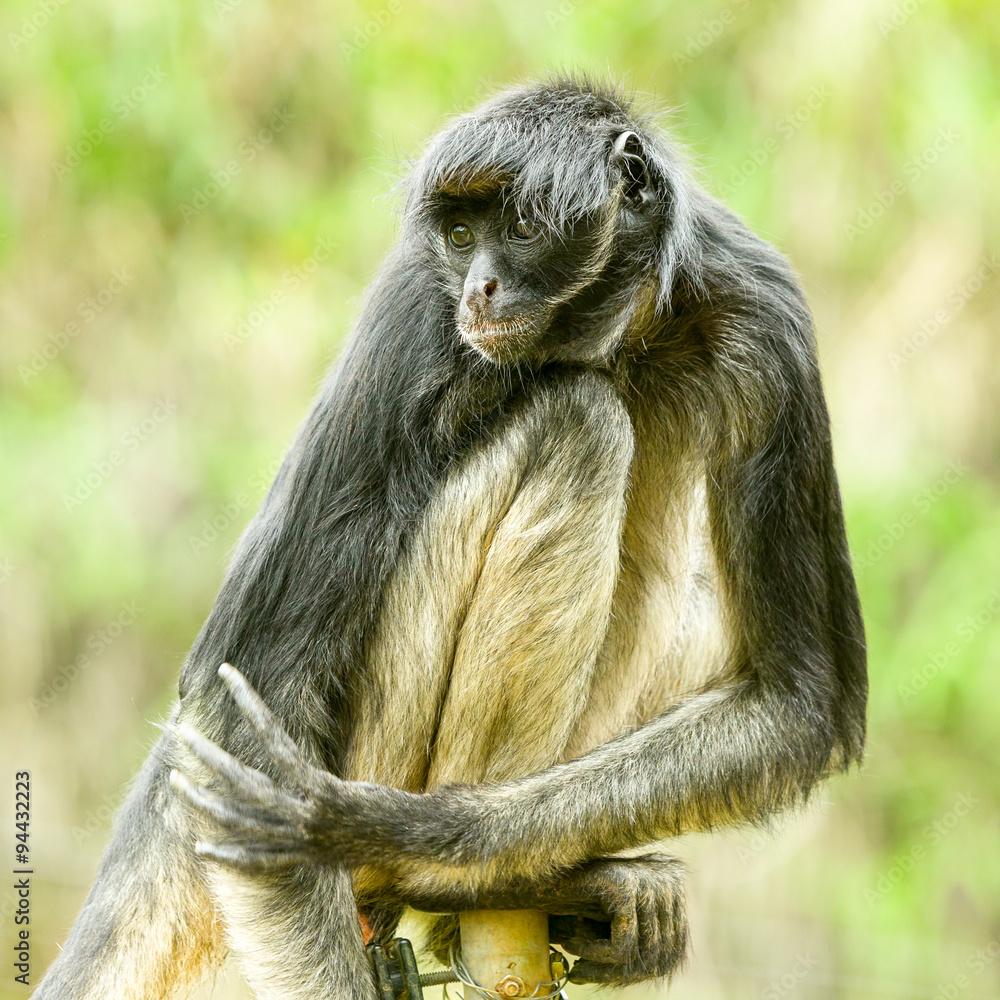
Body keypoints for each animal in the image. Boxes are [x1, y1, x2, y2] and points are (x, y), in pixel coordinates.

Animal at [34, 77, 866, 1000]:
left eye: (524, 229)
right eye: (462, 238)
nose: (482, 287)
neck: (615, 336)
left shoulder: (764, 311)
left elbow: (795, 705)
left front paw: (409, 830)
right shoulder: (420, 307)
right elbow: (241, 706)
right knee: (577, 420)